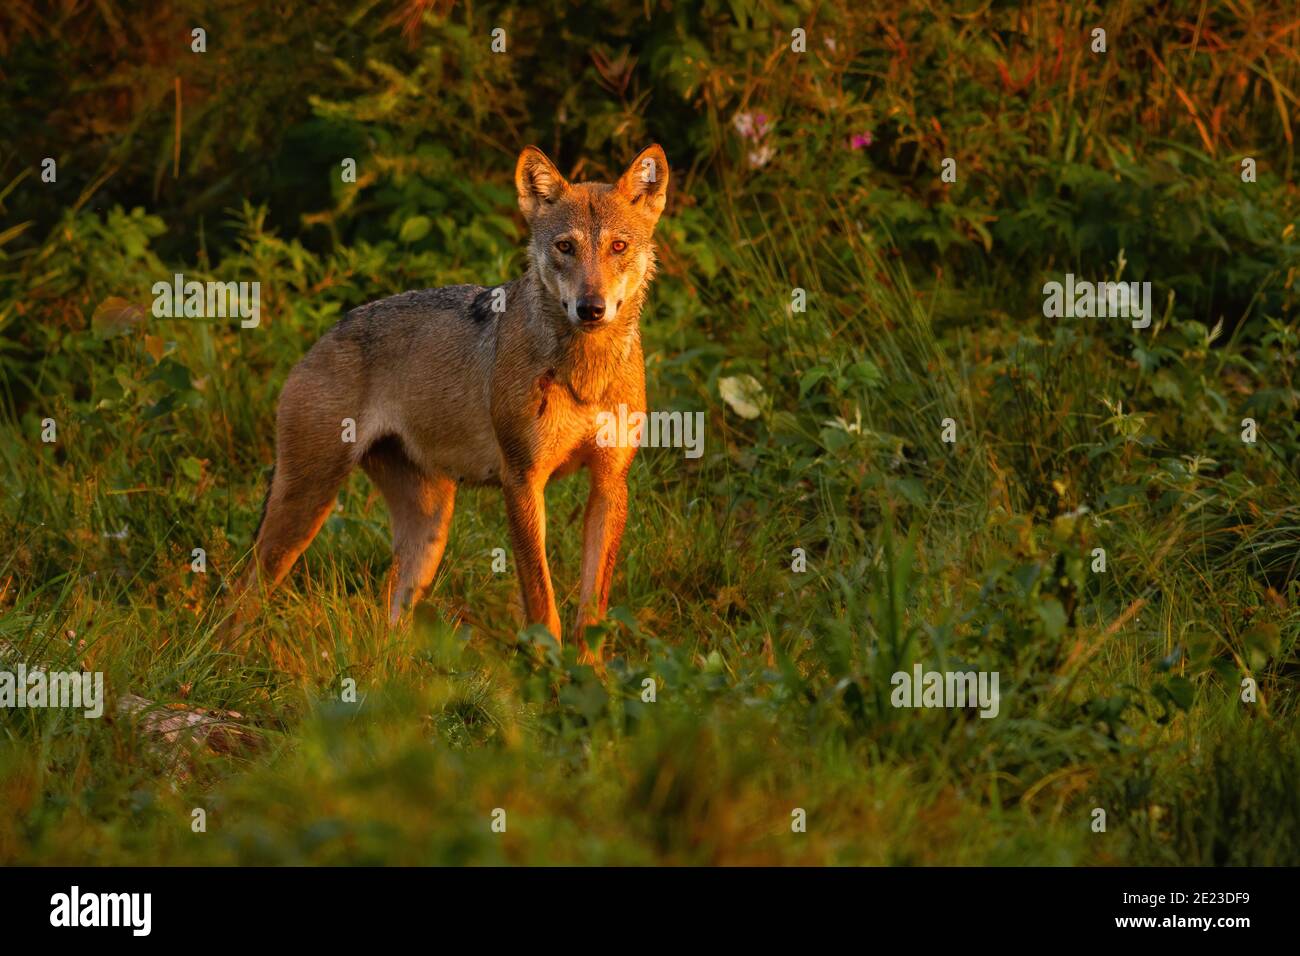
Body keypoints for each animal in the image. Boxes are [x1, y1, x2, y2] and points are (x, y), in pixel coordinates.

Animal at [225, 145, 669, 662]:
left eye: (618, 247)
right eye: (565, 248)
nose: (591, 308)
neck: (585, 373)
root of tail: (320, 339)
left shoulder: (610, 484)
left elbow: (591, 613)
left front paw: (589, 677)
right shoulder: (522, 480)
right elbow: (542, 605)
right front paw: (548, 673)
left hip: (431, 525)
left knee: (389, 611)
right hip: (308, 504)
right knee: (244, 590)